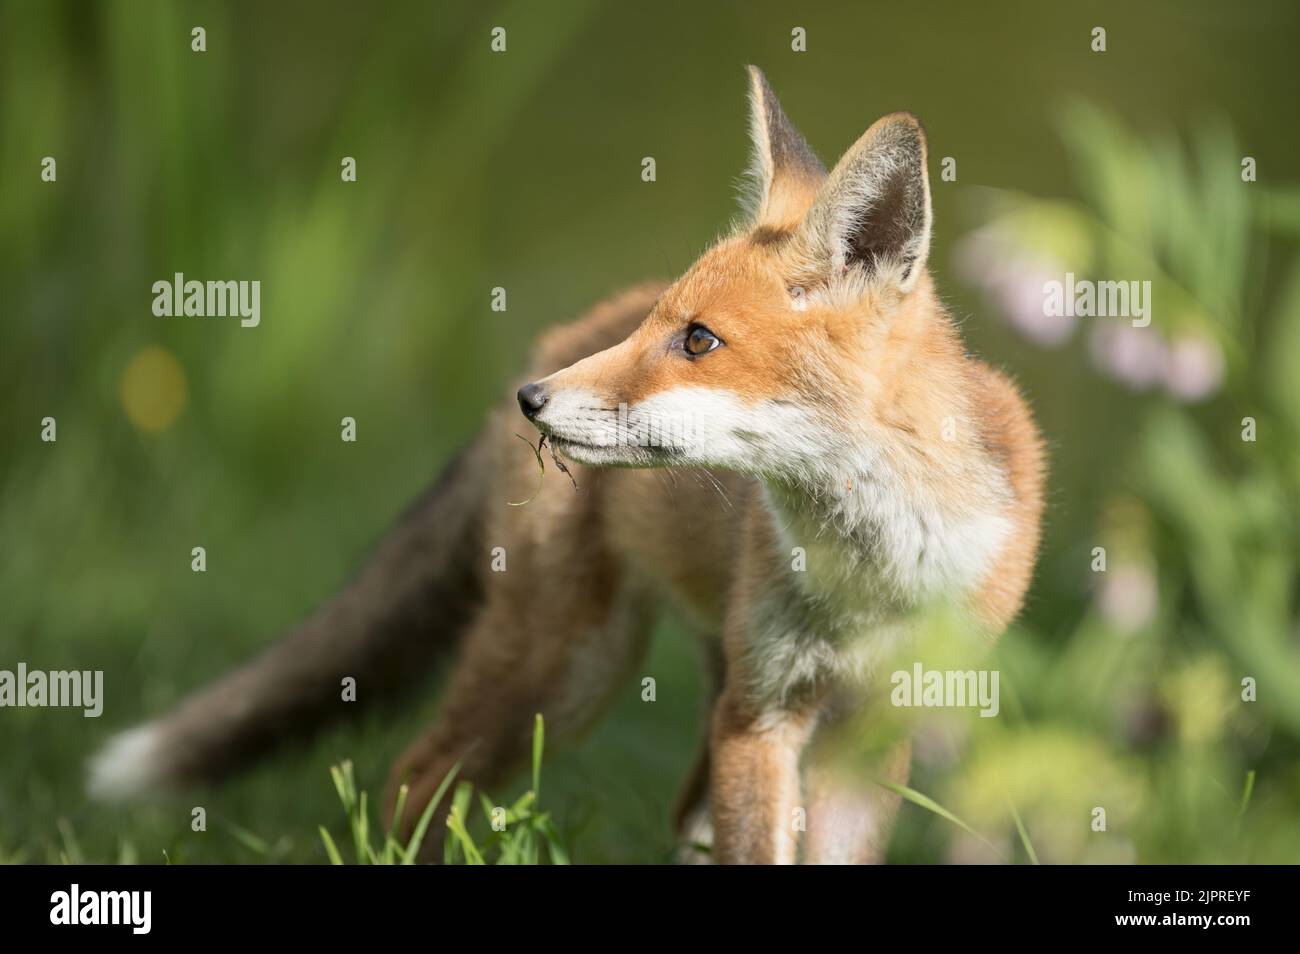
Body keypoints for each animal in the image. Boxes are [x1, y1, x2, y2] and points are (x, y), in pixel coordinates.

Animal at [89, 67, 1044, 864]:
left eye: (699, 340)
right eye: (661, 327)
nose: (533, 400)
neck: (871, 574)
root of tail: (558, 335)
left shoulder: (873, 729)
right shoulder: (762, 713)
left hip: (683, 676)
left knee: (678, 818)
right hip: (569, 670)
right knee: (412, 780)